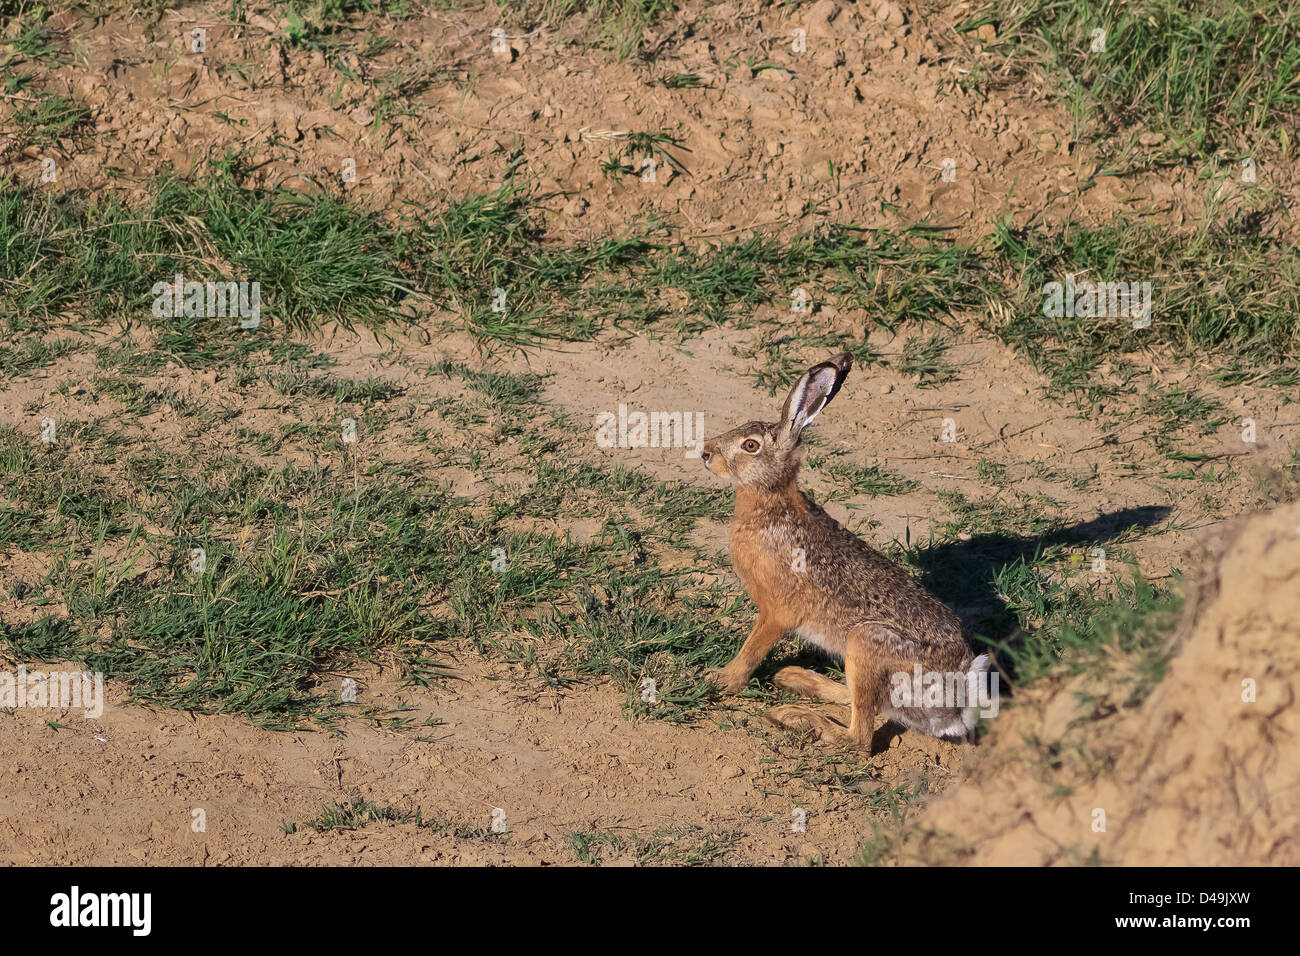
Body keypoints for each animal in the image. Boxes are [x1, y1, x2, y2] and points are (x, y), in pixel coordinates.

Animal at [700, 351, 991, 750]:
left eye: (750, 446)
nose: (705, 453)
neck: (771, 504)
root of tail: (956, 703)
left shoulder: (777, 612)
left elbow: (752, 649)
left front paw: (721, 679)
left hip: (866, 644)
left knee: (860, 738)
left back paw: (796, 717)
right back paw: (795, 679)